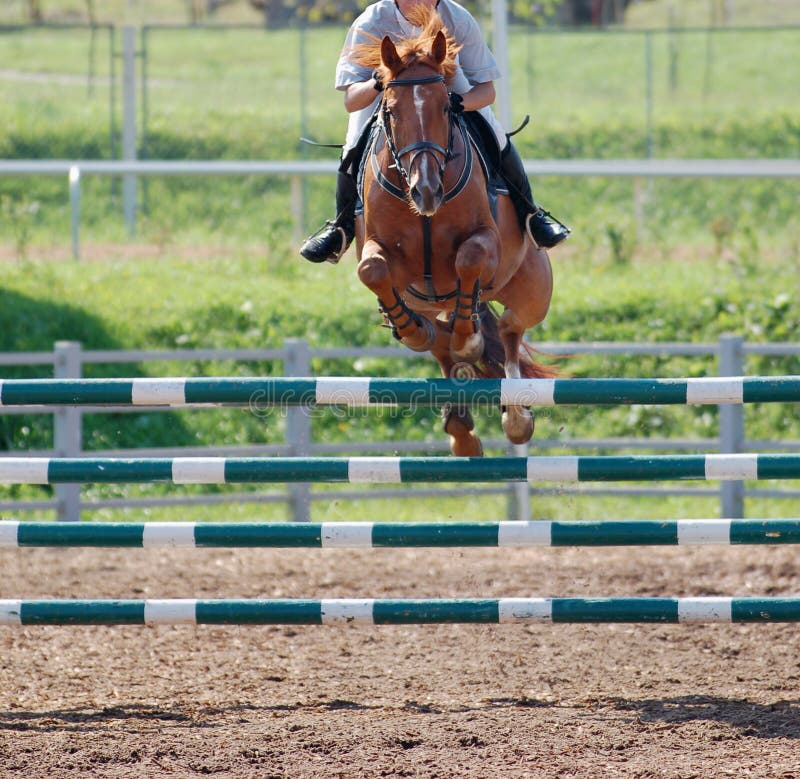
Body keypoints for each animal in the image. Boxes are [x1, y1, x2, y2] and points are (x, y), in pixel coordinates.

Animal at [352, 7, 554, 456]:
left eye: (447, 108)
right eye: (390, 111)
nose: (426, 191)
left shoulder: (485, 242)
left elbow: (470, 258)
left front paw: (469, 341)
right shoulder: (380, 252)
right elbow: (373, 271)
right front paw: (412, 329)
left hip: (533, 288)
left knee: (510, 328)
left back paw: (515, 415)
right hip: (432, 301)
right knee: (441, 345)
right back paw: (459, 424)